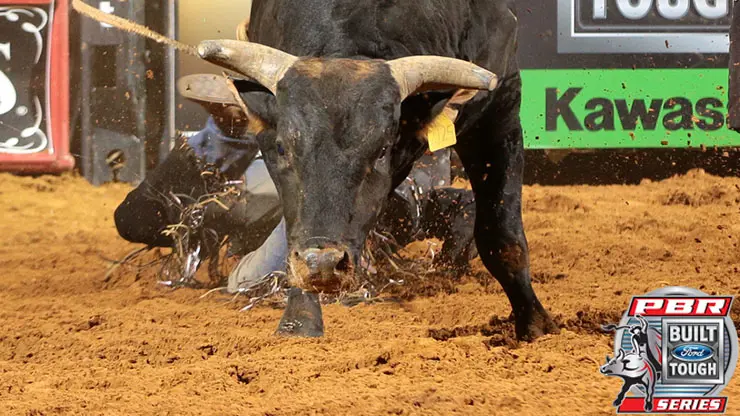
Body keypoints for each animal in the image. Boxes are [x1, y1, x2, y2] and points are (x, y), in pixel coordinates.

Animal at [190, 0, 558, 340]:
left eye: (382, 149)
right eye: (283, 147)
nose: (323, 263)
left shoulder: (501, 105)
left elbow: (502, 237)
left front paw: (535, 325)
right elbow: (293, 231)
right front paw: (300, 320)